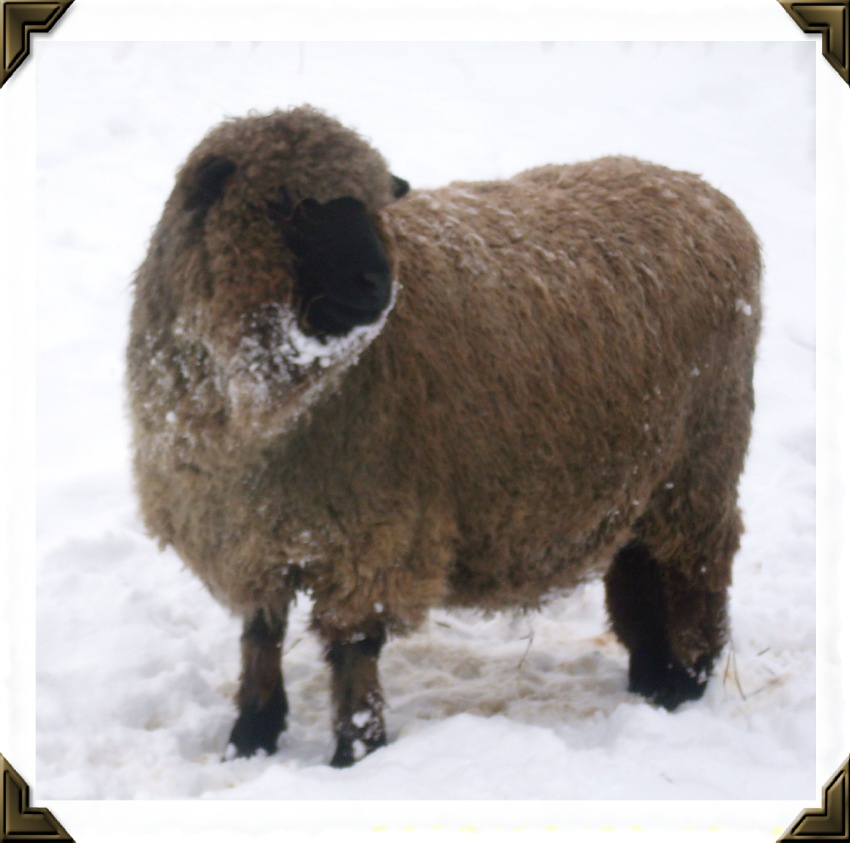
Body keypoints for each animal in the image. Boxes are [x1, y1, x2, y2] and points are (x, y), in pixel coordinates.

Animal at [126, 105, 762, 768]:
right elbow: (260, 635)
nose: (377, 282)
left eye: (371, 205)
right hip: (645, 473)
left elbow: (353, 649)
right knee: (642, 564)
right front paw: (251, 733)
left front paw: (356, 749)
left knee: (696, 567)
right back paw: (649, 674)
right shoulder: (245, 536)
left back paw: (684, 682)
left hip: (701, 457)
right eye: (286, 206)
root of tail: (705, 193)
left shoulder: (374, 532)